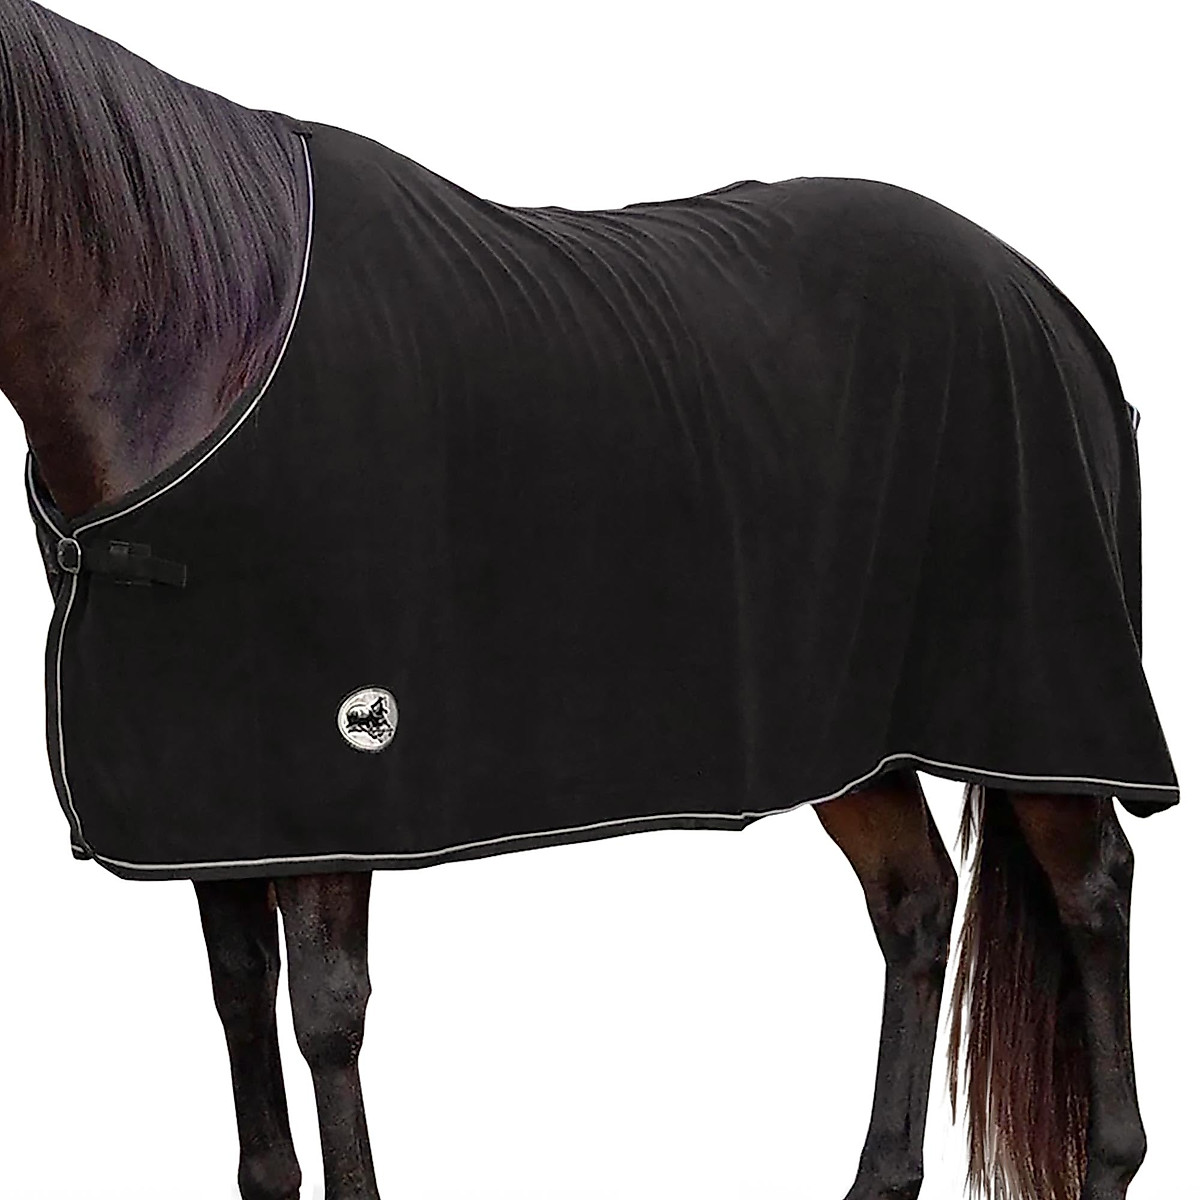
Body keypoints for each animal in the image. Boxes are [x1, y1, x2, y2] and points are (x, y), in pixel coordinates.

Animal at [0, 3, 1179, 1199]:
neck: (207, 343)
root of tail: (1045, 302)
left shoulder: (340, 776)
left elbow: (326, 1016)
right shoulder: (212, 803)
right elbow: (239, 994)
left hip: (1039, 703)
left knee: (1093, 891)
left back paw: (1108, 1162)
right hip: (854, 736)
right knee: (916, 900)